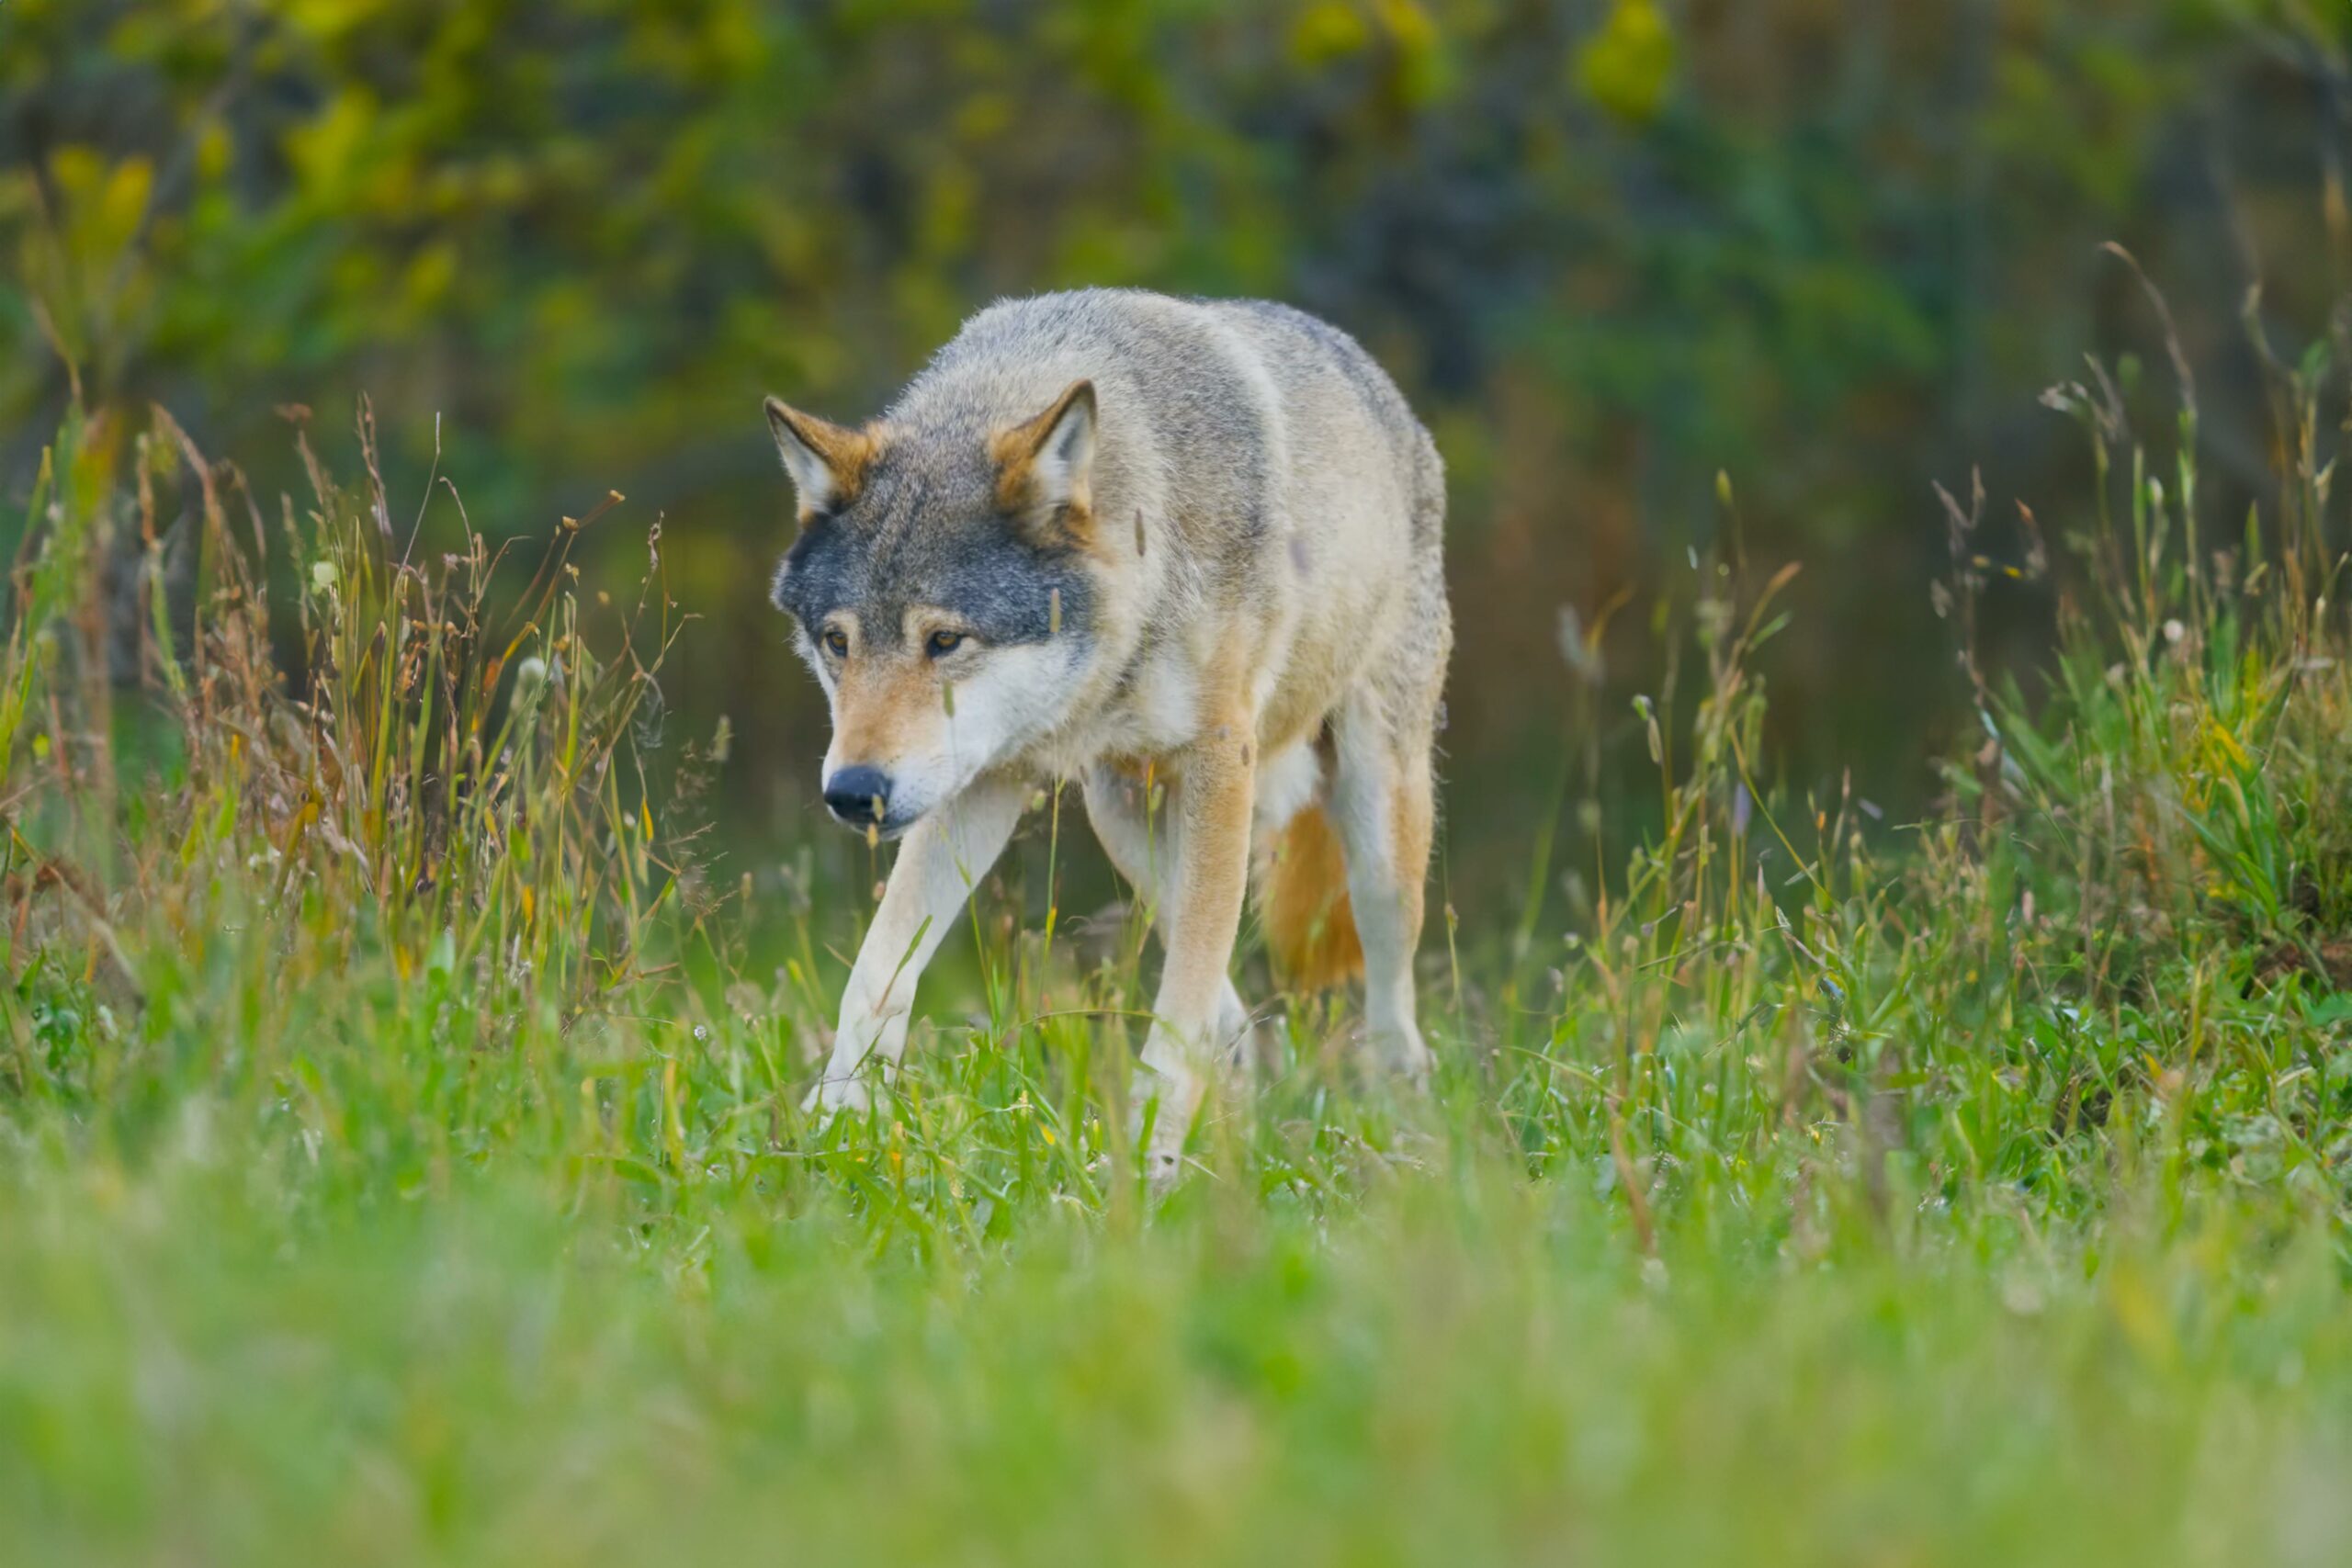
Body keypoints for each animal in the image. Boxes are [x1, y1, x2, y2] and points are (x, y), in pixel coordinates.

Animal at [764, 288, 1451, 1180]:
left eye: (944, 640)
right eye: (837, 642)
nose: (851, 795)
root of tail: (1389, 396)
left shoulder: (1221, 763)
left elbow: (1181, 1007)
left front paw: (1151, 1171)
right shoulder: (985, 781)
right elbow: (876, 975)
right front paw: (825, 1142)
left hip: (1375, 833)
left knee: (1388, 999)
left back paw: (1406, 1128)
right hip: (1123, 816)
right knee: (1223, 994)